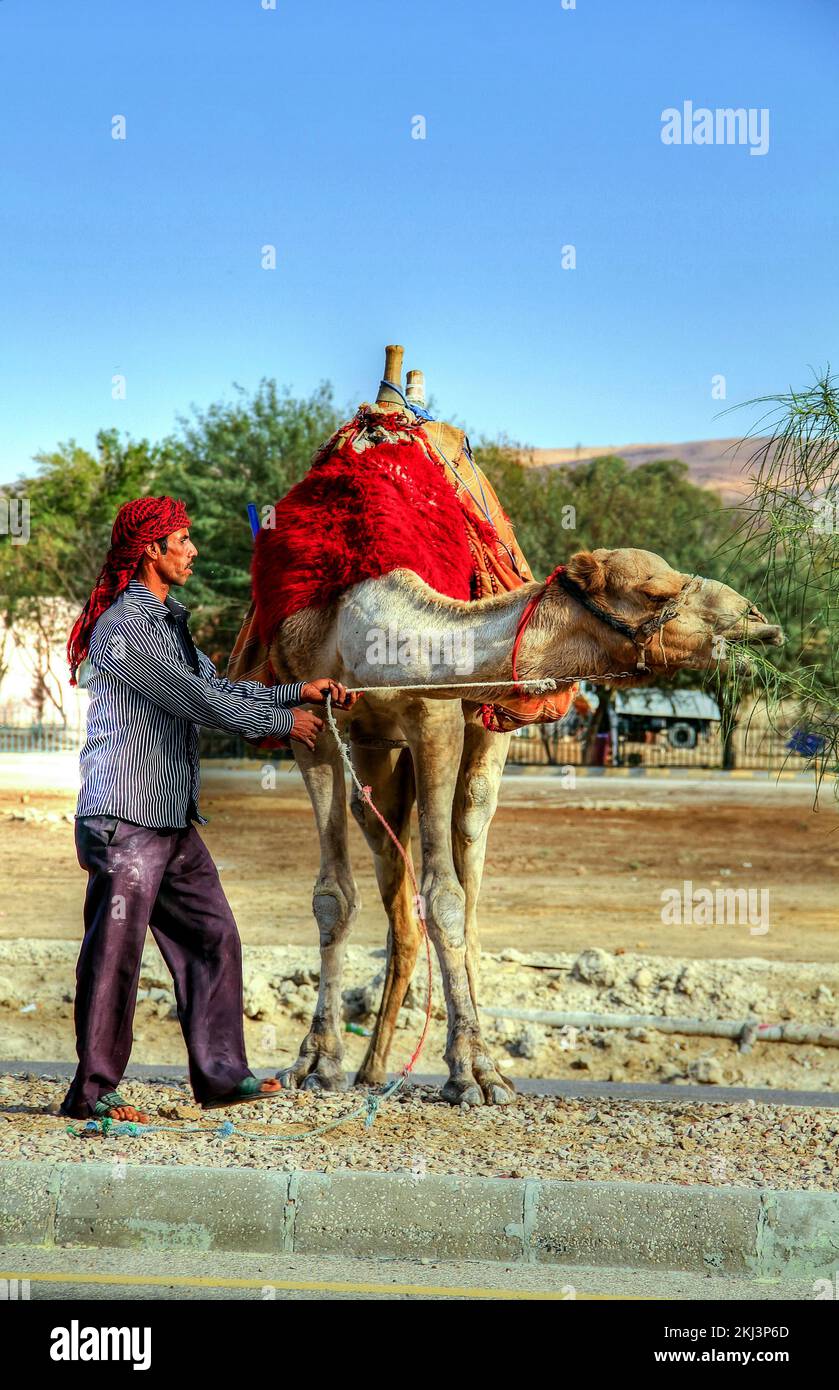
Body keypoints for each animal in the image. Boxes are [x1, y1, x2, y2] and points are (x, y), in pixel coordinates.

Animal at [232, 349, 784, 1107]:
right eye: (654, 589)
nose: (758, 617)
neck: (356, 615)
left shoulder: (437, 715)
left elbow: (448, 897)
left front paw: (476, 1072)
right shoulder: (310, 723)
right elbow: (332, 897)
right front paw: (316, 1061)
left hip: (488, 734)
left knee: (467, 865)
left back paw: (460, 1054)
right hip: (374, 754)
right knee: (392, 868)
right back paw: (374, 1069)